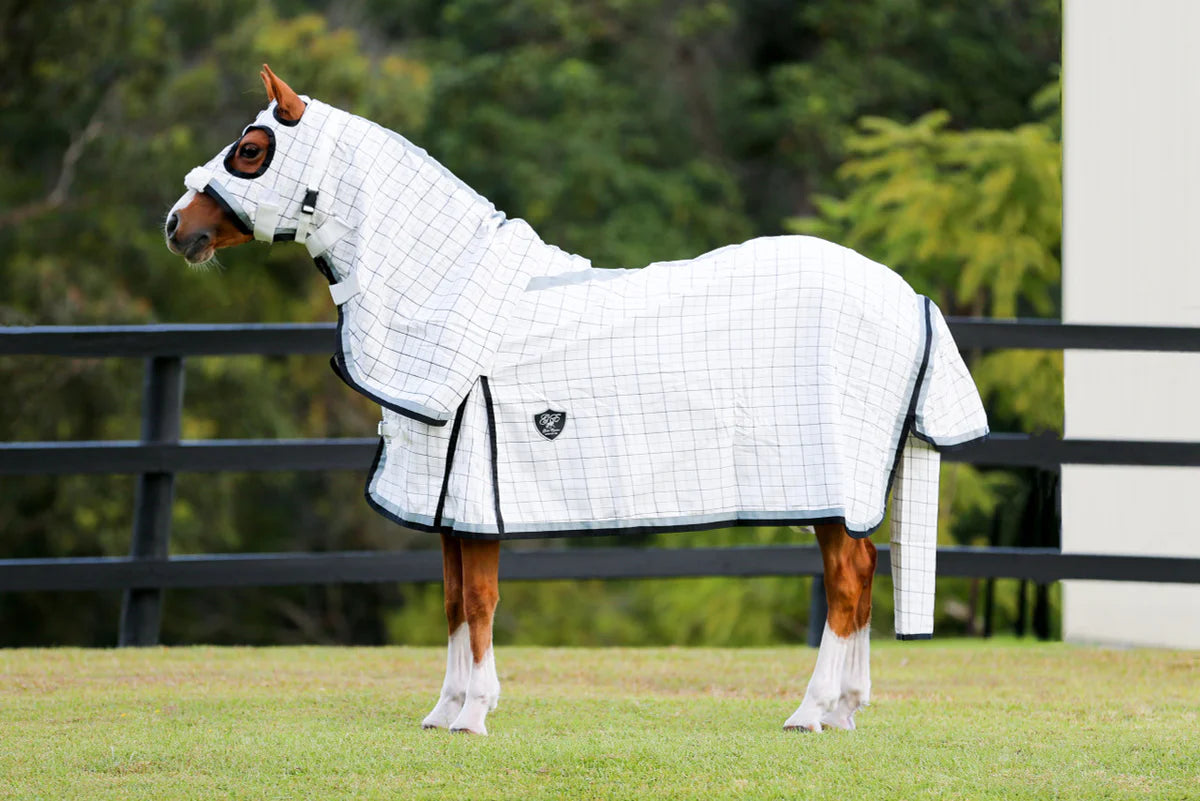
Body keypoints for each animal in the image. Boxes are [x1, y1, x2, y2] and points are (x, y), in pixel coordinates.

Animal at [166, 65, 987, 735]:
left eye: (251, 149)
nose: (177, 226)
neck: (444, 295)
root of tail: (907, 296)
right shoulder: (445, 498)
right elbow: (454, 601)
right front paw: (445, 710)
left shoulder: (477, 491)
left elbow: (481, 601)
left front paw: (473, 715)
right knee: (863, 575)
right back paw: (843, 709)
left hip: (830, 488)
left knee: (846, 583)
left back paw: (811, 711)